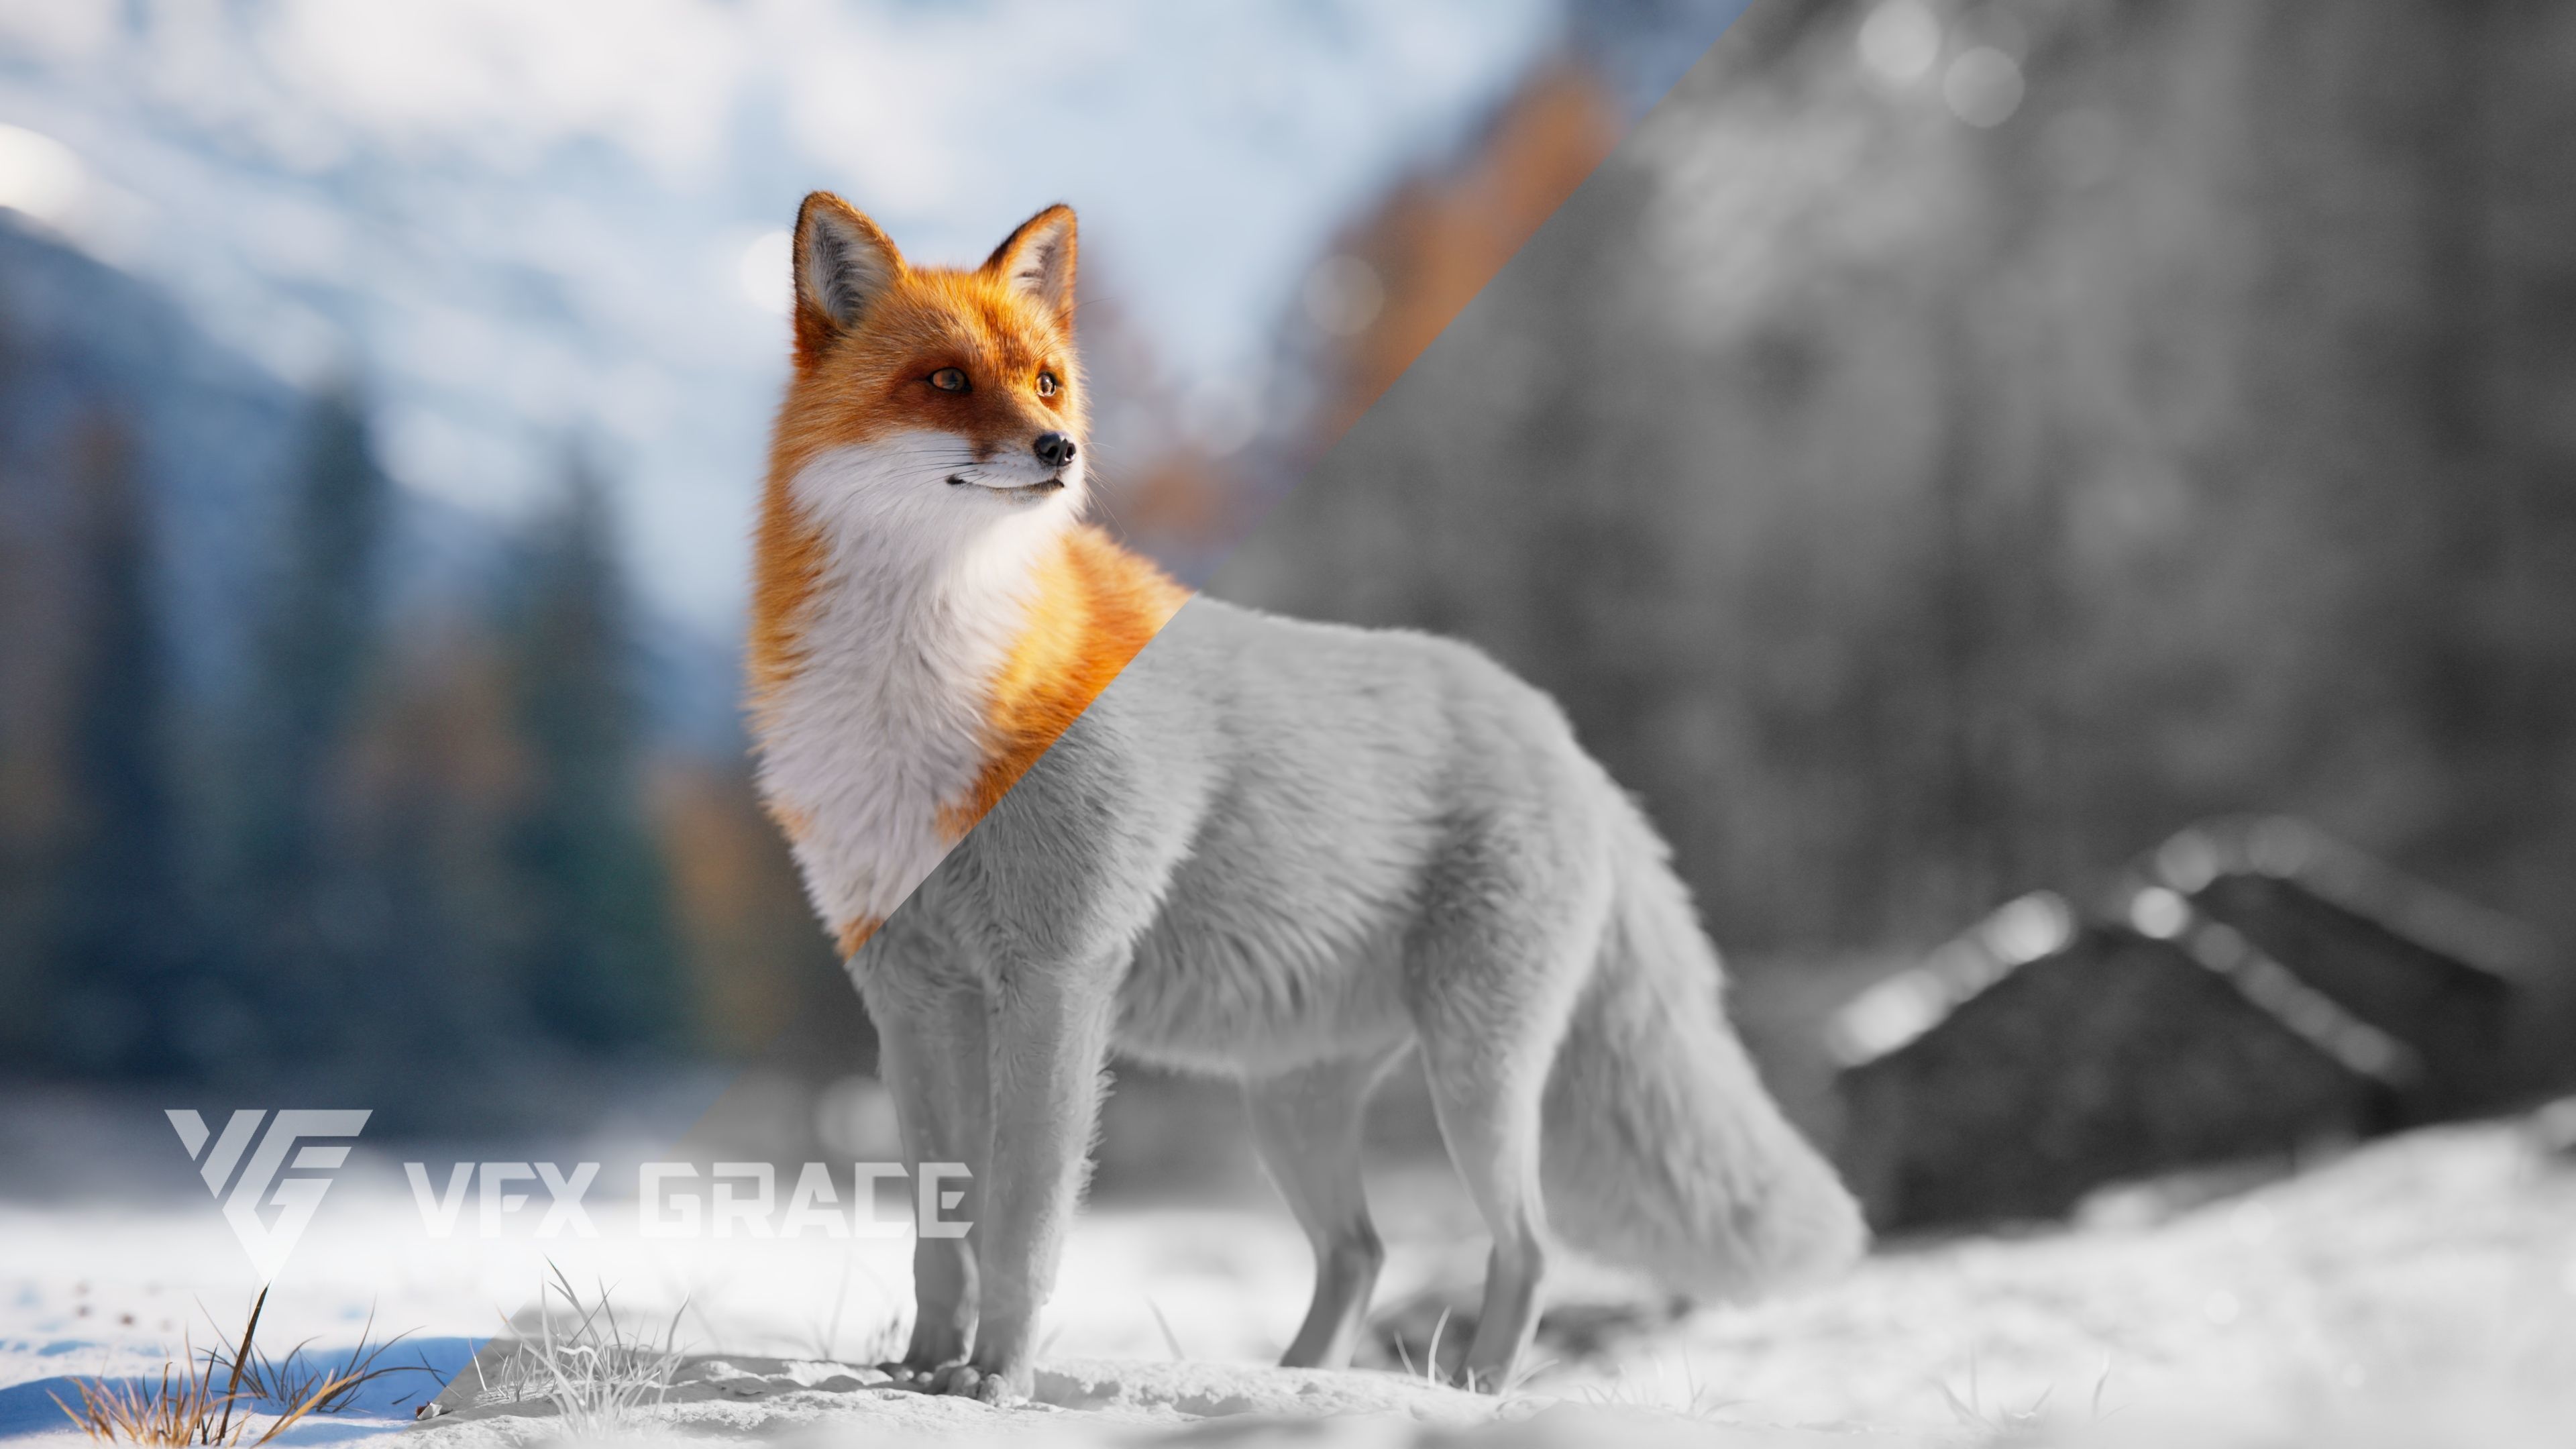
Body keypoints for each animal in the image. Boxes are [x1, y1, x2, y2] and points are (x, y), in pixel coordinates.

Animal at [747, 192, 1866, 1405]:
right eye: (947, 380)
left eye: (1045, 381)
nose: (1060, 449)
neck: (925, 694)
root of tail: (1568, 740)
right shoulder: (913, 1000)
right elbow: (939, 1235)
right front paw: (921, 1370)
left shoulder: (1056, 976)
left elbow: (1020, 1225)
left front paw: (996, 1382)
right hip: (1293, 1105)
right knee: (1361, 1252)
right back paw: (1297, 1385)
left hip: (1474, 1077)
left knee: (1528, 1247)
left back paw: (1474, 1390)